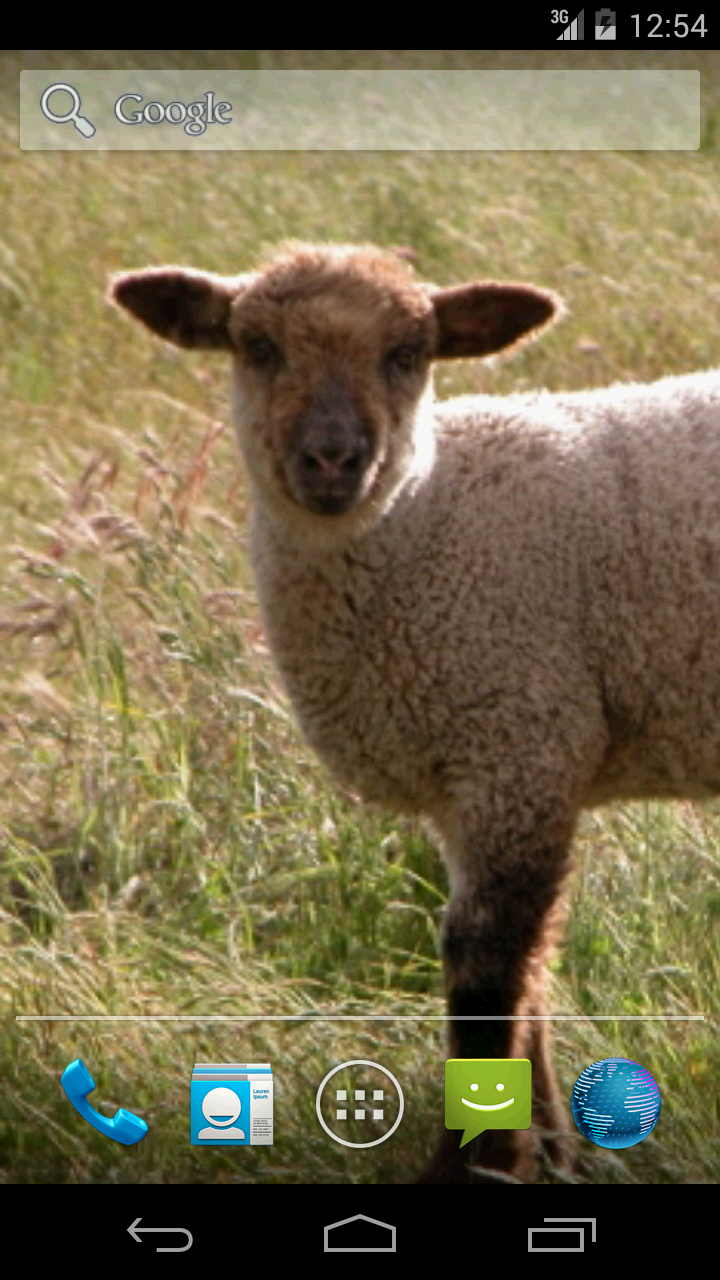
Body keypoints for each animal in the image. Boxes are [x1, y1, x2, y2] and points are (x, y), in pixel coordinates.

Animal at [110, 241, 717, 1183]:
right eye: (256, 347)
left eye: (408, 353)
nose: (332, 459)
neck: (427, 516)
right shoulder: (463, 778)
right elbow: (529, 980)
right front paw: (549, 1151)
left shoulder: (519, 741)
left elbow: (486, 967)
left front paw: (479, 1161)